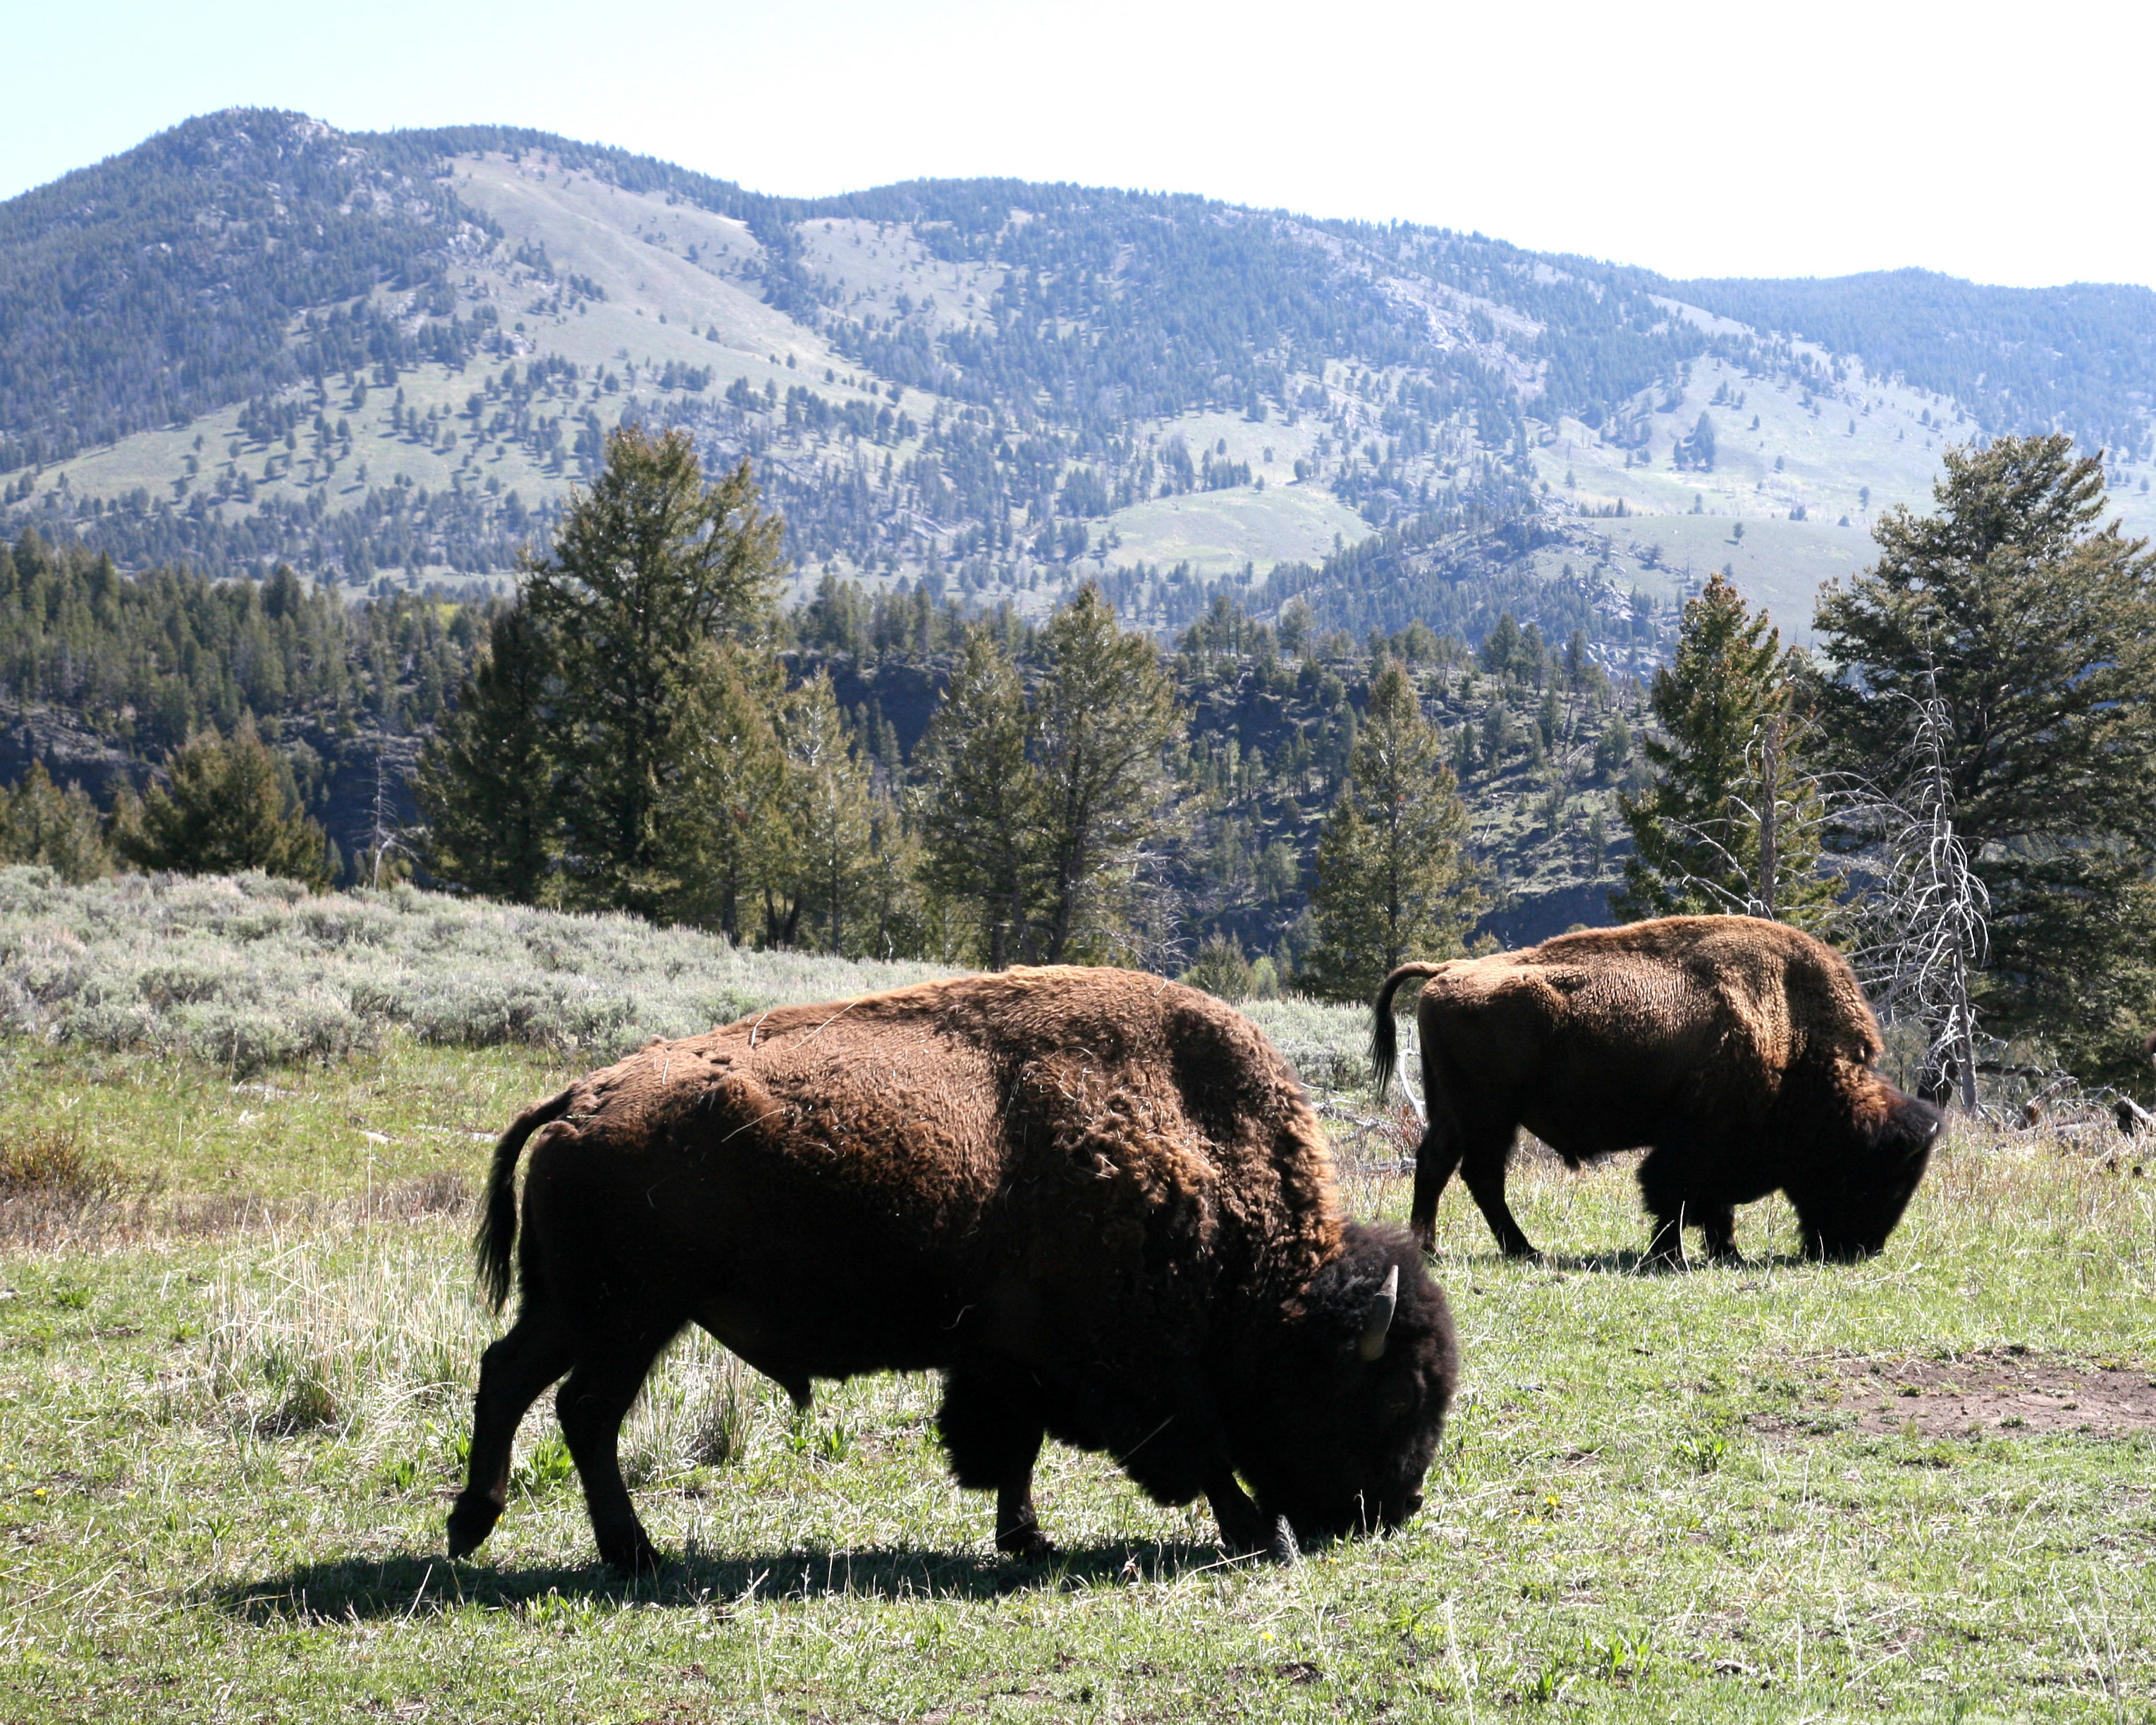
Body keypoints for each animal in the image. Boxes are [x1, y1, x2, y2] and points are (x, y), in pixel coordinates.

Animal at [449, 966, 1456, 1573]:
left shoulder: (1013, 1359)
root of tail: (579, 1100)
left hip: (572, 1309)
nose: (1396, 1505)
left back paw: (475, 1526)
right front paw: (1257, 1531)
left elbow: (1014, 1447)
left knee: (510, 1378)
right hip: (629, 1319)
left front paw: (1027, 1538)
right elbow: (1196, 1444)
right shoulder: (1136, 1364)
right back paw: (631, 1552)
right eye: (1395, 1395)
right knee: (583, 1411)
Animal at [1371, 915, 1942, 1264]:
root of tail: (1447, 969)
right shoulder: (1696, 1141)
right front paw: (1674, 1255)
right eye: (1880, 1177)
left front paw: (1724, 1253)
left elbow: (1709, 1205)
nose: (1860, 1248)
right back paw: (1523, 1250)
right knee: (1480, 1175)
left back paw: (1430, 1249)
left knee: (1436, 1164)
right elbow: (1676, 1196)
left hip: (1453, 1108)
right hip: (1490, 1115)